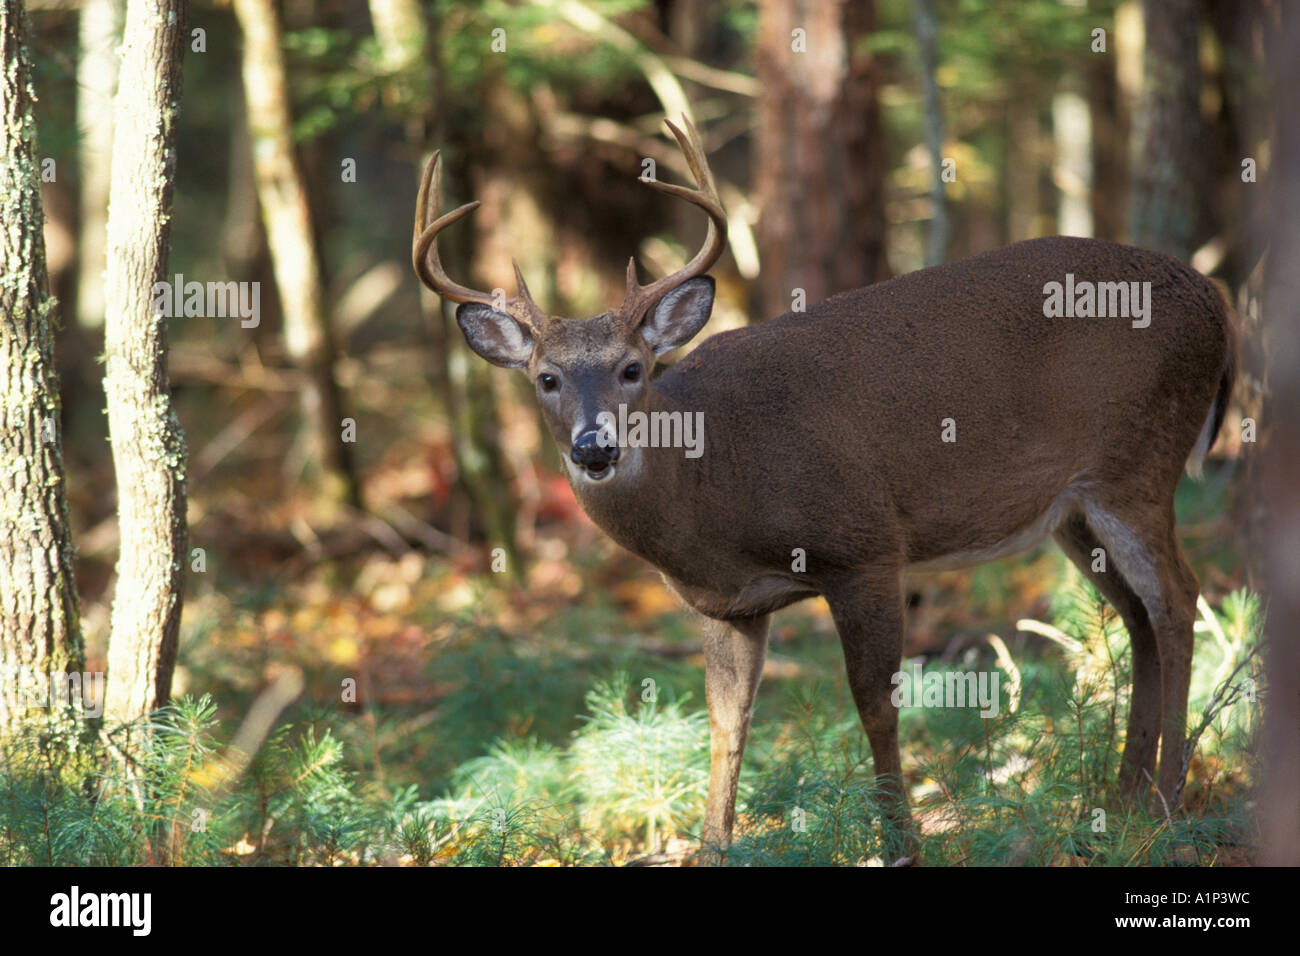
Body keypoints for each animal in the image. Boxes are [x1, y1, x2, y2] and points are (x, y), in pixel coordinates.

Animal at [413, 118, 1236, 865]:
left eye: (632, 368)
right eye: (546, 378)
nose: (595, 449)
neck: (713, 488)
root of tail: (1217, 299)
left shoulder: (864, 545)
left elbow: (875, 703)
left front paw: (900, 843)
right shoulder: (729, 605)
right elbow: (727, 723)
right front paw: (713, 849)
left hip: (1136, 463)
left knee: (1177, 597)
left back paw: (1165, 803)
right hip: (1072, 509)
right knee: (1137, 616)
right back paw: (1118, 805)